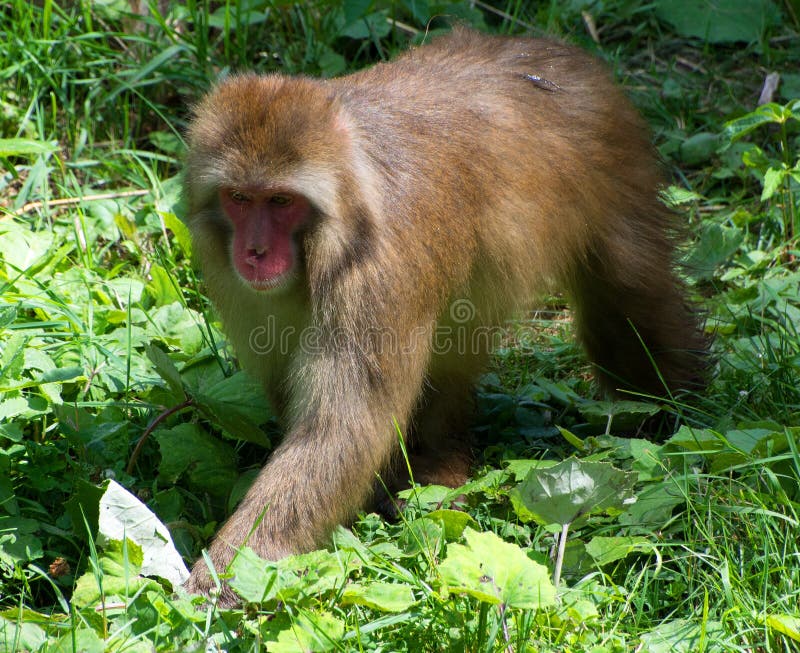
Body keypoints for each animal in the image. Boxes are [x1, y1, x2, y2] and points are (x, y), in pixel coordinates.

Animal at [181, 27, 708, 602]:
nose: (254, 251)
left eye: (280, 201)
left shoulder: (376, 276)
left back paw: (668, 414)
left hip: (613, 161)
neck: (339, 224)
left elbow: (339, 429)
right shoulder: (240, 285)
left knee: (627, 291)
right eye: (239, 198)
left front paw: (227, 574)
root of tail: (548, 48)